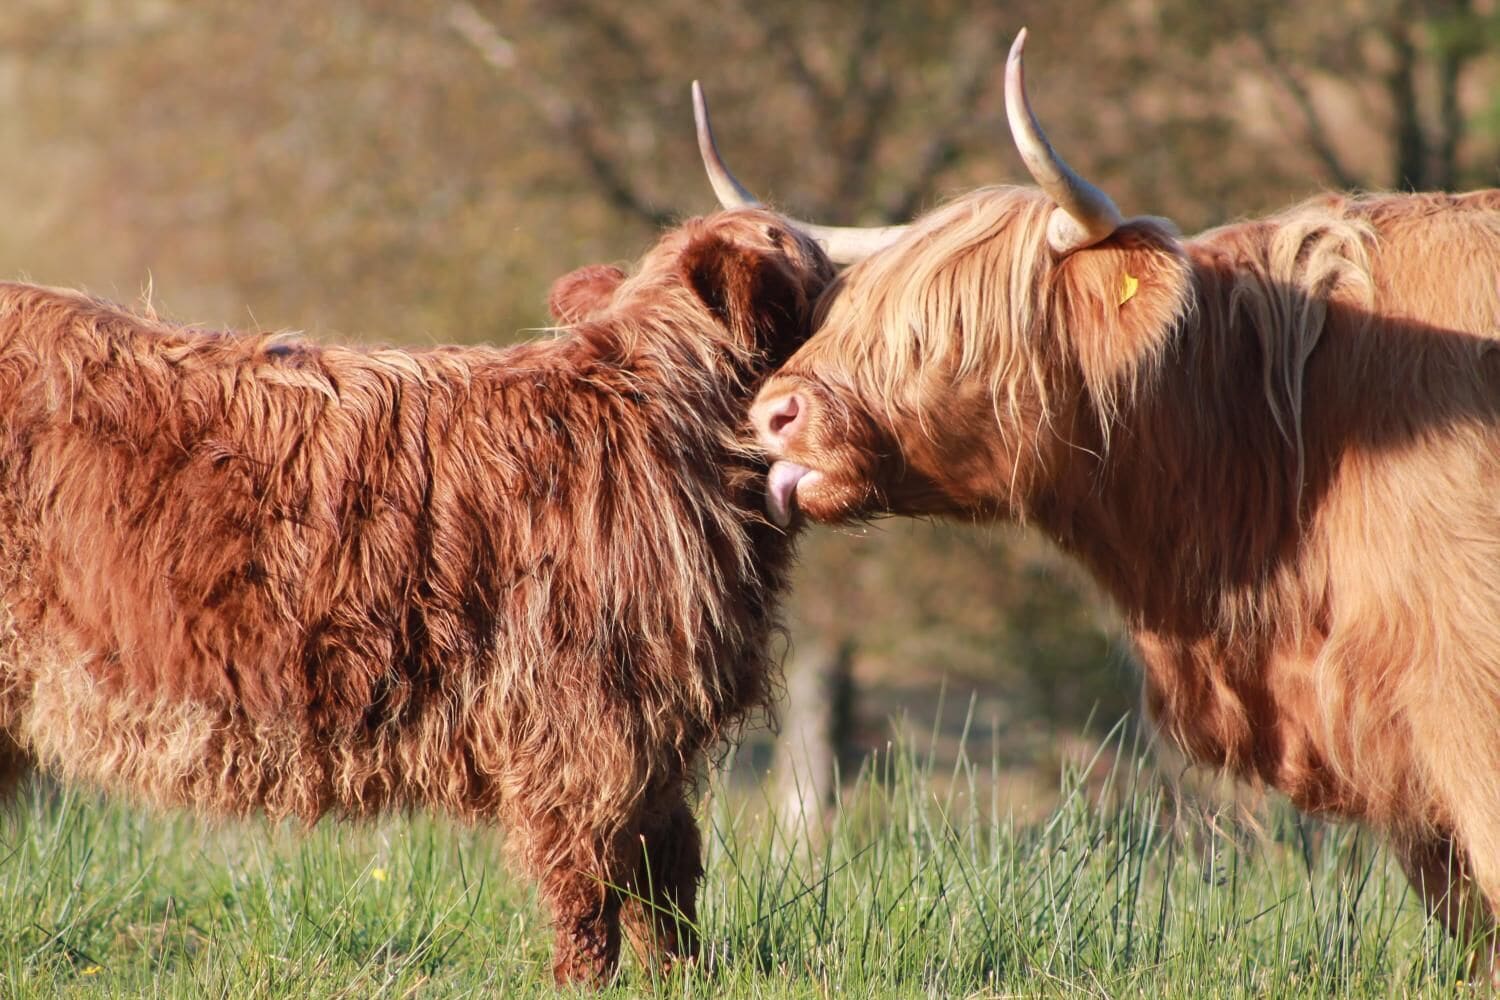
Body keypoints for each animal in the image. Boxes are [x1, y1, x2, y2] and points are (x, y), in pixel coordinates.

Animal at [0, 207, 834, 985]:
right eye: (816, 273)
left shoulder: (652, 733)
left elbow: (666, 873)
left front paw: (681, 977)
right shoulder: (588, 719)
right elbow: (591, 879)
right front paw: (583, 983)